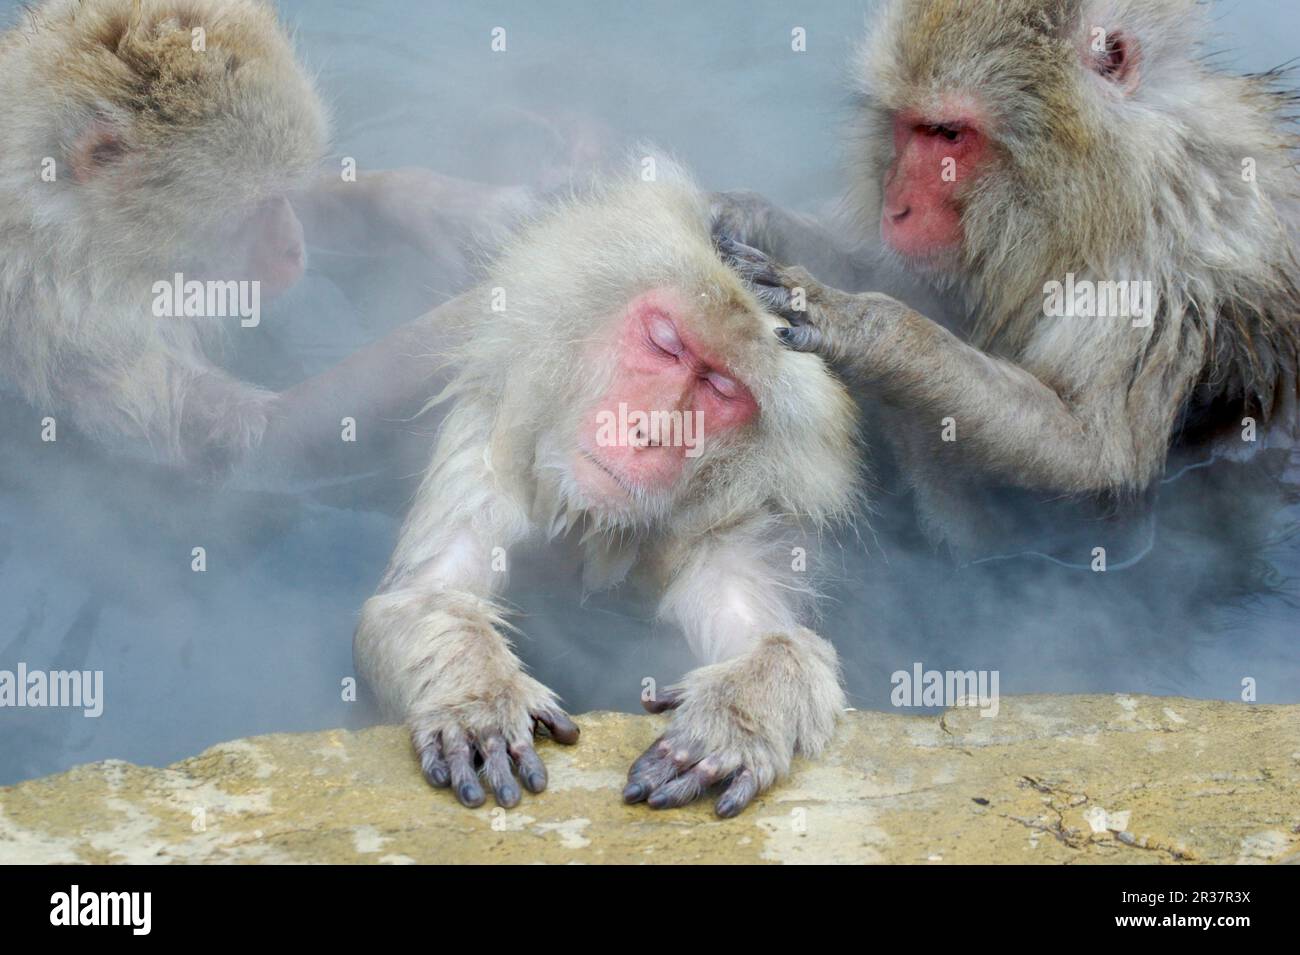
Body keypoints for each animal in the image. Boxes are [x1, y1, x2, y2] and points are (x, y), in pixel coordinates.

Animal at [354, 160, 862, 817]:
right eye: (666, 342)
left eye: (721, 386)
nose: (648, 430)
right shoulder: (490, 448)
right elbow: (422, 598)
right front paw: (479, 701)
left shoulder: (729, 528)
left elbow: (773, 639)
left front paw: (735, 720)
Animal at [714, 0, 1299, 555]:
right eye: (906, 125)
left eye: (948, 133)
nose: (894, 208)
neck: (1103, 192)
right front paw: (752, 215)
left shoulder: (1162, 271)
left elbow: (1101, 486)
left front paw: (861, 325)